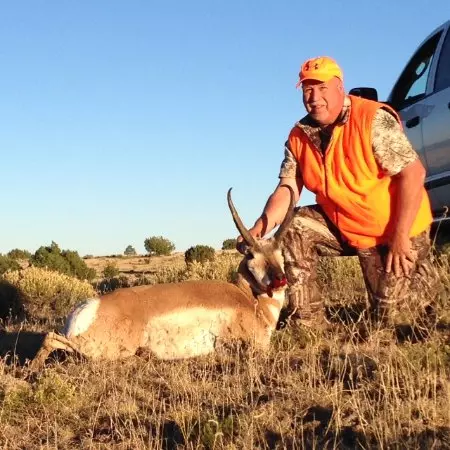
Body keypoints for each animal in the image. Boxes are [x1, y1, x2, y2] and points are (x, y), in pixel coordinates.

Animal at [29, 185, 296, 368]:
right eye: (251, 255)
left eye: (280, 253)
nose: (280, 280)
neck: (247, 299)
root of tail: (89, 306)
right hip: (106, 349)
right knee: (51, 337)